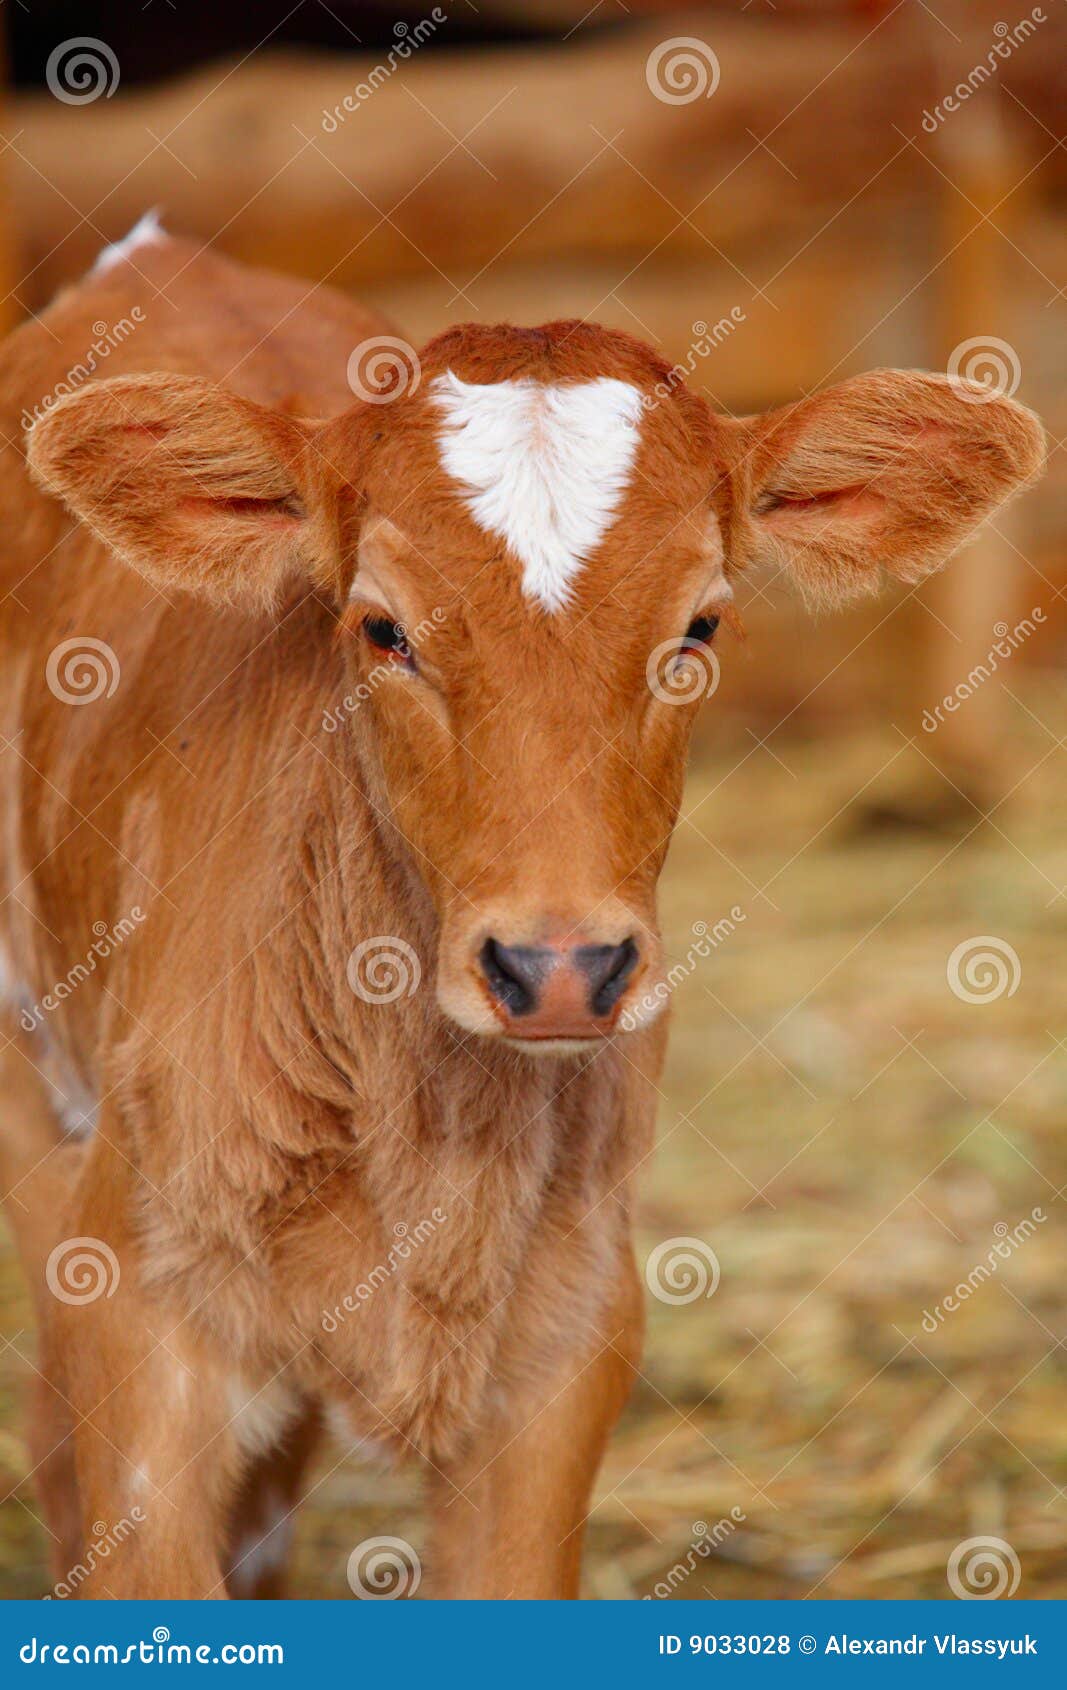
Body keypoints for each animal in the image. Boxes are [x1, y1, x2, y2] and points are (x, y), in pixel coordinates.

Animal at [0, 218, 1044, 1599]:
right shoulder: (129, 1304)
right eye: (382, 629)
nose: (557, 966)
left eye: (699, 624)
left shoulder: (570, 1334)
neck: (432, 1142)